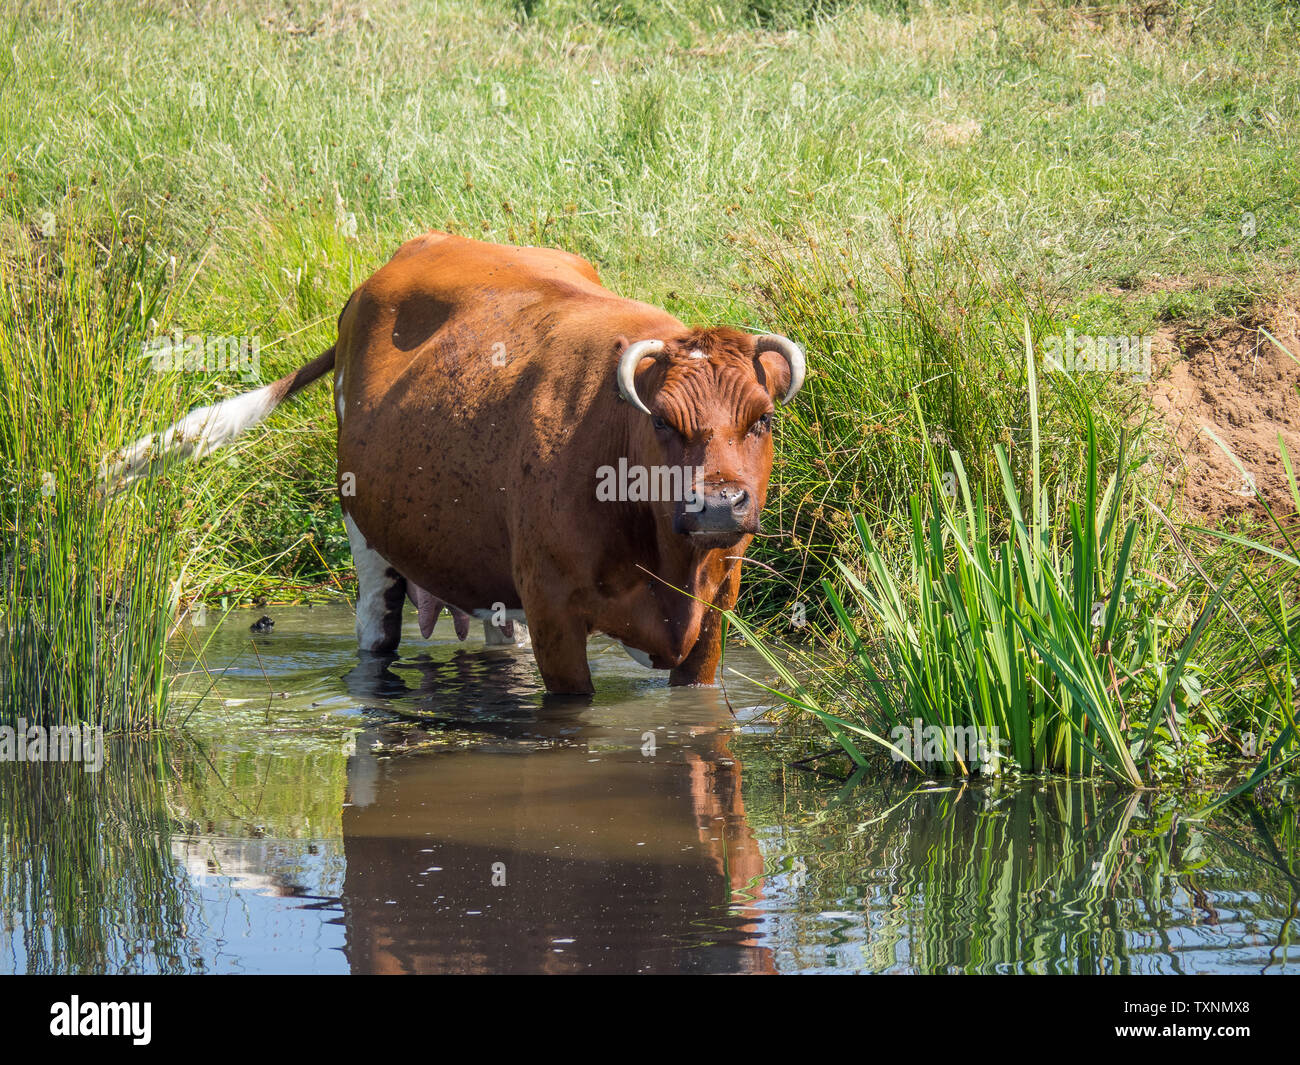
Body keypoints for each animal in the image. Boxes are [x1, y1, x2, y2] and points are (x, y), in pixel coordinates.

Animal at [113, 232, 805, 694]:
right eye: (662, 421)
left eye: (763, 419)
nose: (717, 505)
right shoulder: (554, 611)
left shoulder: (715, 611)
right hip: (366, 533)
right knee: (376, 630)